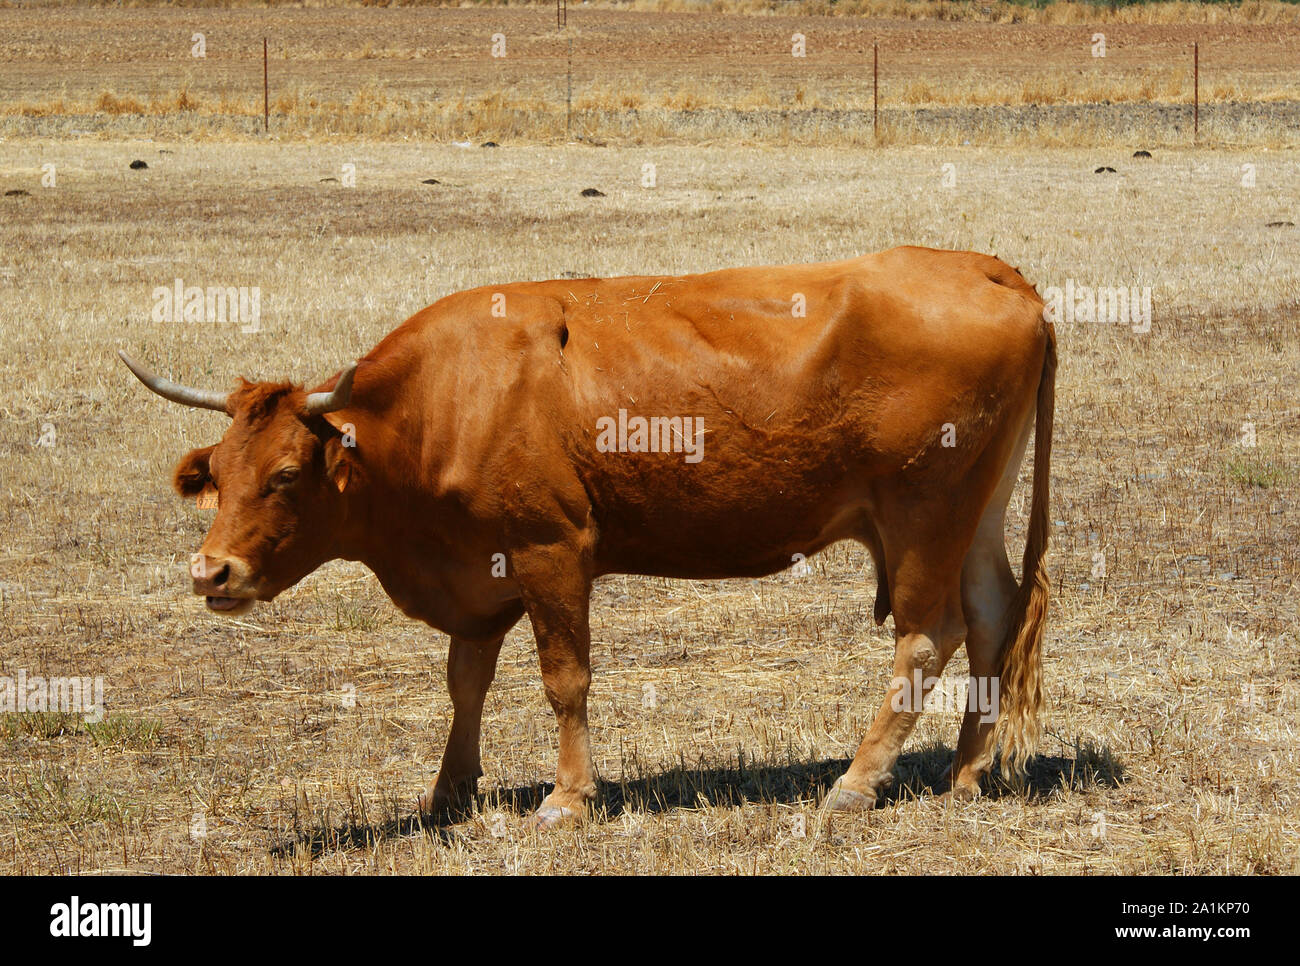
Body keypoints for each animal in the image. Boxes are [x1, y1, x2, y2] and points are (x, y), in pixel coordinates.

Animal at [120, 246, 1056, 827]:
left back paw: (857, 783)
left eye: (285, 475)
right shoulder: (479, 574)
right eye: (216, 474)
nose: (211, 572)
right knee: (990, 619)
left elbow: (564, 681)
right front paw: (447, 791)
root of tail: (991, 271)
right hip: (975, 511)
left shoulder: (553, 552)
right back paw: (967, 773)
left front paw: (569, 797)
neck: (441, 404)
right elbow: (465, 684)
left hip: (923, 515)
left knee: (928, 636)